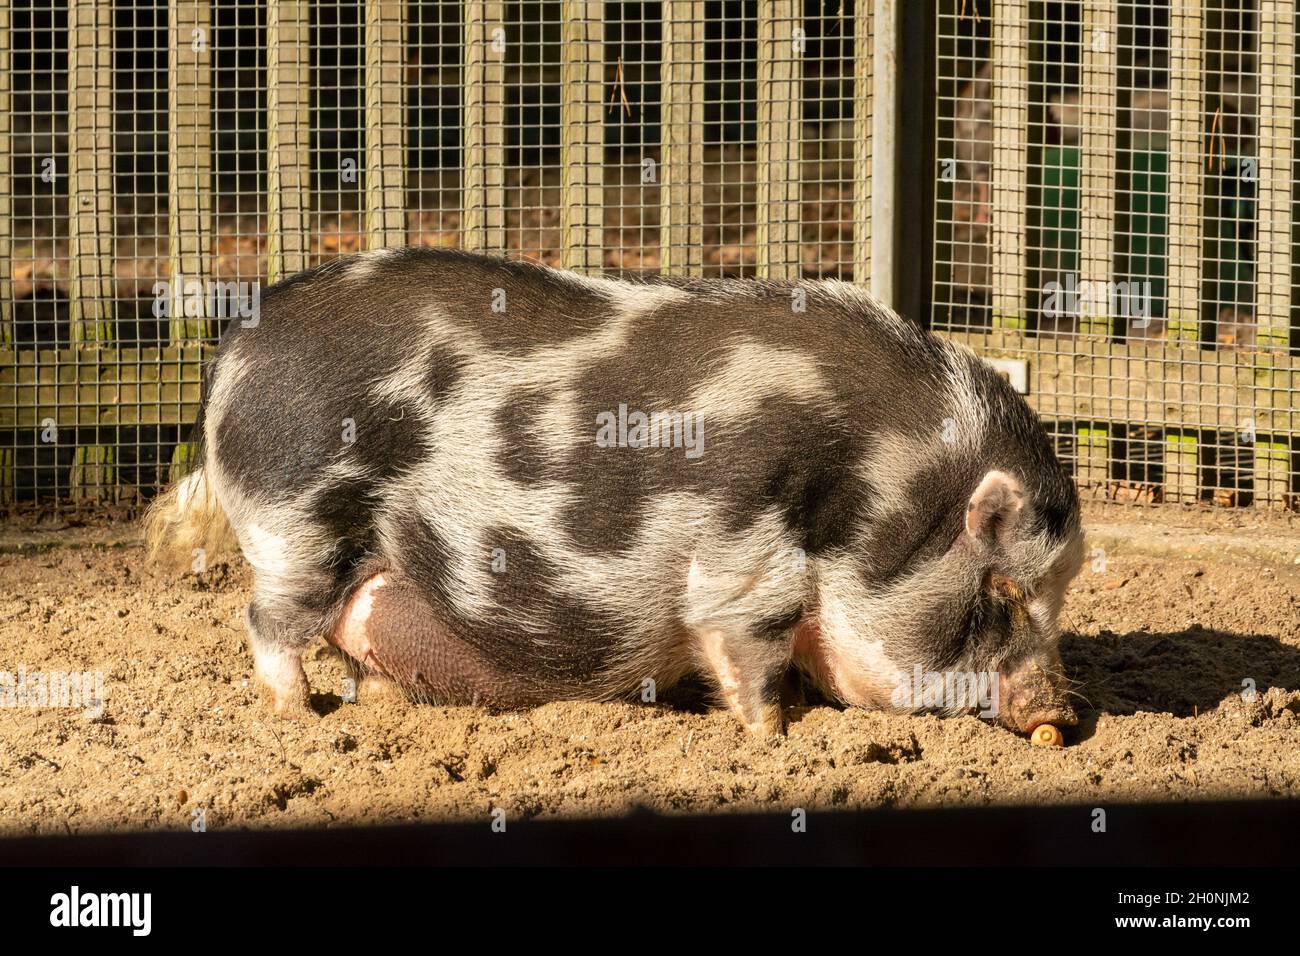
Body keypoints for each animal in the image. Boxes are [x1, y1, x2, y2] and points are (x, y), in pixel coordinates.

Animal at [146, 248, 1084, 736]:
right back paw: (295, 716)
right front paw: (774, 739)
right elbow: (748, 647)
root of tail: (233, 351)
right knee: (268, 621)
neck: (877, 485)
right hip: (297, 524)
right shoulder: (744, 558)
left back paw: (377, 703)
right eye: (1004, 587)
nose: (1061, 713)